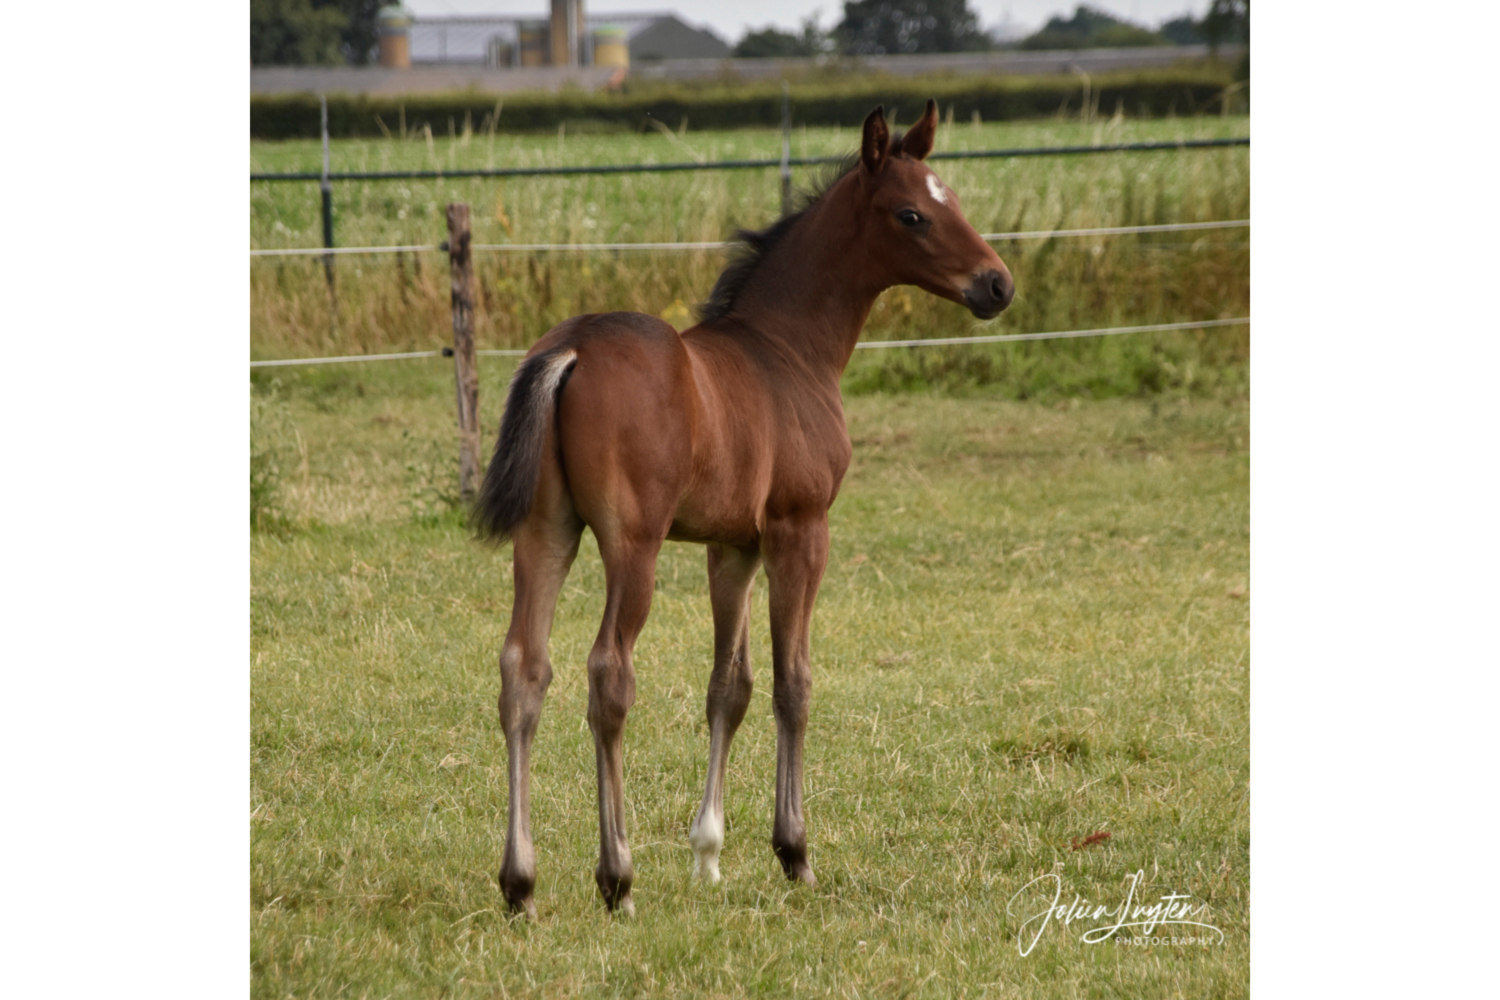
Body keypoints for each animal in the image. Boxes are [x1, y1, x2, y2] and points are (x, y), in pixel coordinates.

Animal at [473, 100, 1014, 917]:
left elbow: (729, 688)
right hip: (632, 543)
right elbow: (794, 683)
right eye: (912, 214)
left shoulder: (732, 546)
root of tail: (571, 349)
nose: (997, 284)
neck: (787, 351)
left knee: (523, 670)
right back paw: (617, 877)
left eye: (951, 198)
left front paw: (708, 854)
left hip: (546, 531)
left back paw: (521, 885)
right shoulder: (800, 529)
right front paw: (795, 852)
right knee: (608, 673)